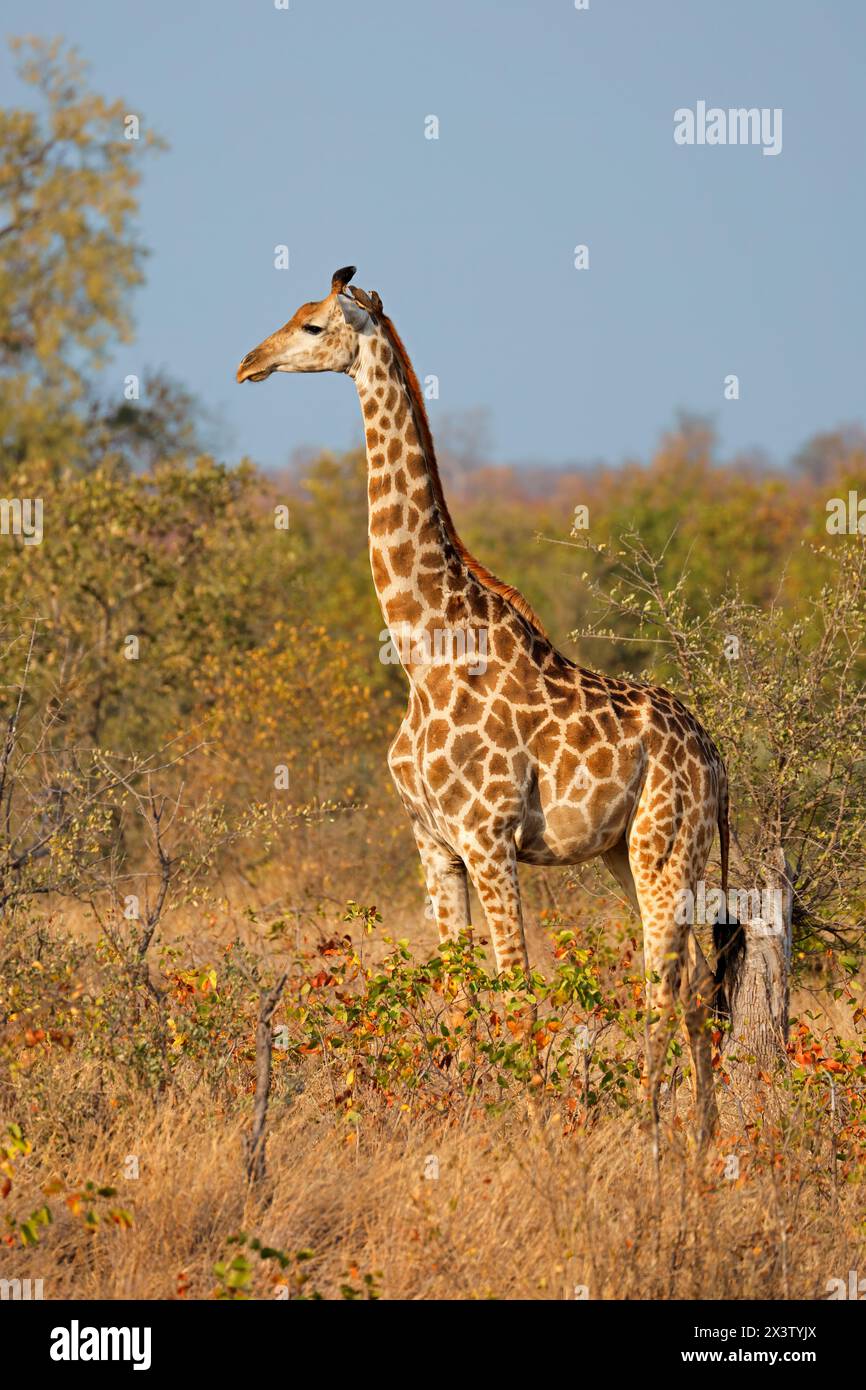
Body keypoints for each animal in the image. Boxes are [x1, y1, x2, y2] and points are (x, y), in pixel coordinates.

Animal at [237, 266, 727, 1144]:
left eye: (313, 325)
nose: (247, 363)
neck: (425, 652)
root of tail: (715, 754)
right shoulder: (433, 842)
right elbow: (463, 996)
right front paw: (462, 1120)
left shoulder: (490, 839)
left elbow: (517, 986)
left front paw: (526, 1122)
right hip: (633, 854)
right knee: (697, 984)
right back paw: (702, 1141)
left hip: (664, 848)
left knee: (661, 982)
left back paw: (653, 1132)